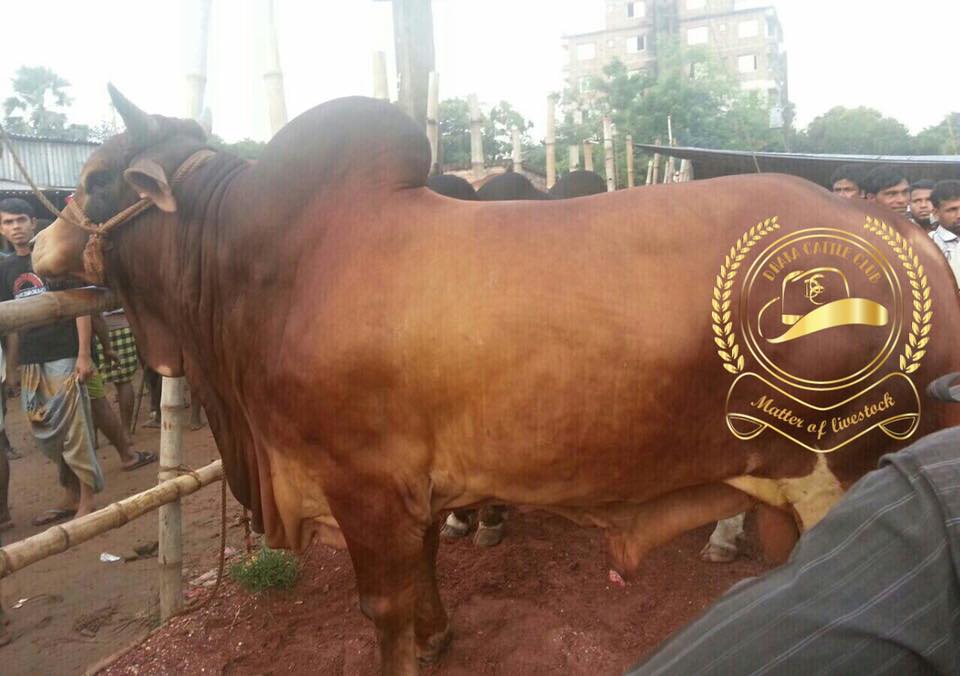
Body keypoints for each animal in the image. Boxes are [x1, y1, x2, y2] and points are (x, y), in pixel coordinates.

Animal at [32, 87, 960, 675]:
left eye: (95, 181)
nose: (39, 248)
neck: (261, 268)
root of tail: (911, 239)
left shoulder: (363, 484)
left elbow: (383, 607)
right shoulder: (411, 486)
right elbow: (429, 564)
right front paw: (440, 639)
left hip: (845, 479)